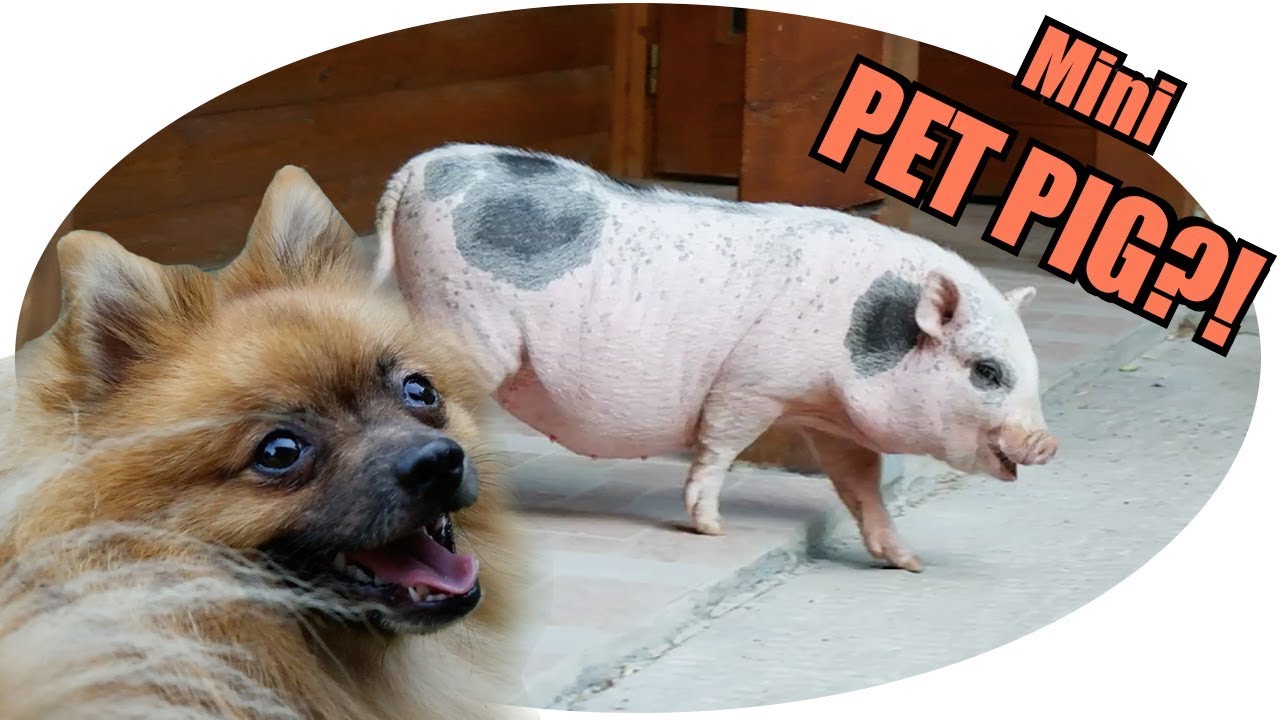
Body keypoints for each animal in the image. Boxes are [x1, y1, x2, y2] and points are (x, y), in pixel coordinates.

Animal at [372, 143, 1059, 572]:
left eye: (1029, 370)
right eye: (987, 371)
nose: (1047, 443)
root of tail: (423, 165)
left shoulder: (830, 420)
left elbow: (860, 484)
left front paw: (907, 562)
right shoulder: (753, 382)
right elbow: (720, 444)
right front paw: (711, 529)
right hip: (462, 321)